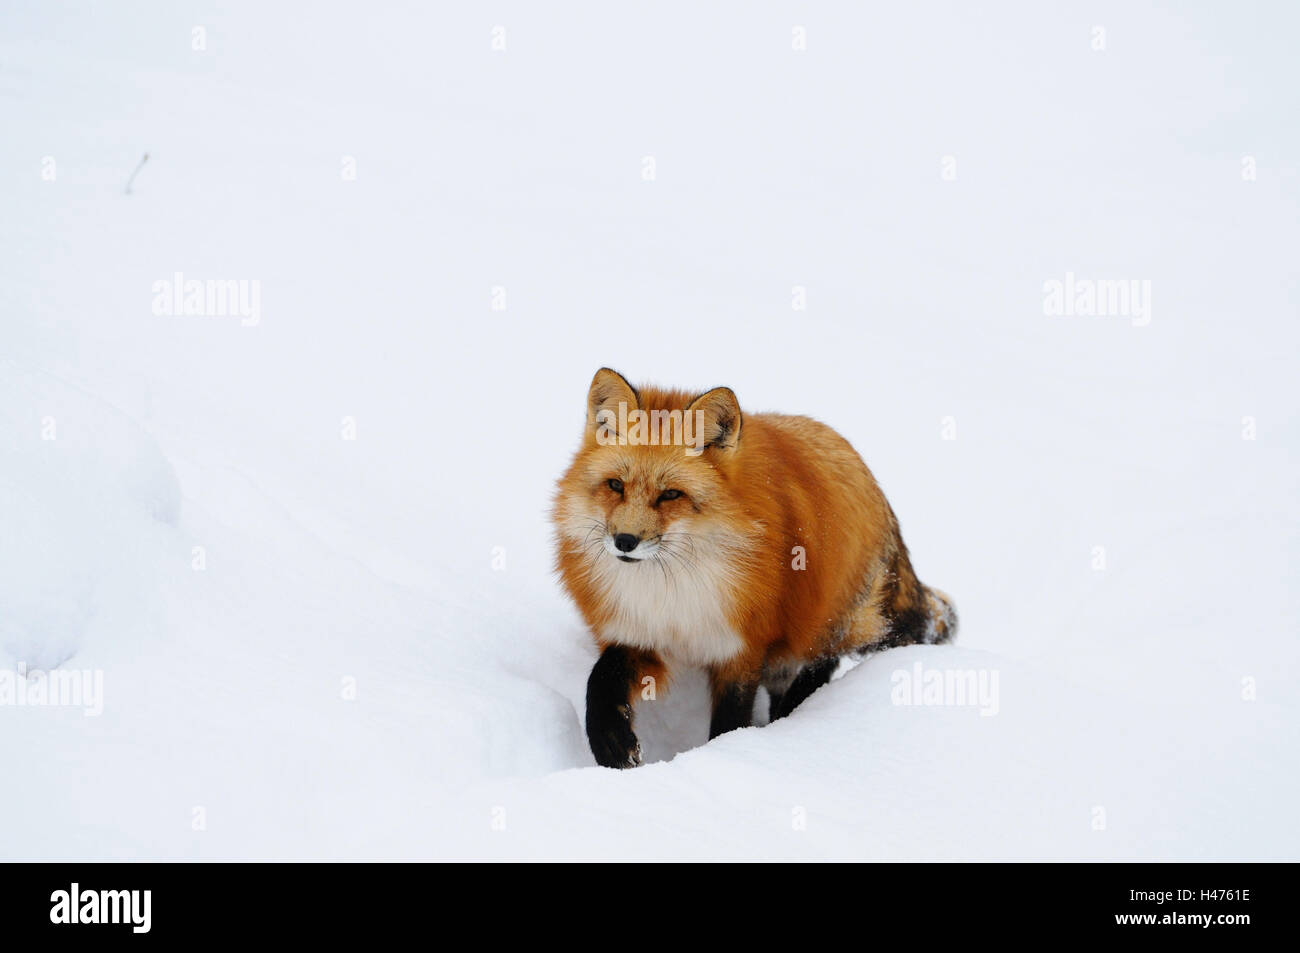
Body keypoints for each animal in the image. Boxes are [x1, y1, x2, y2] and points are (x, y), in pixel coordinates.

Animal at [553, 368, 957, 768]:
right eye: (615, 486)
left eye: (670, 495)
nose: (624, 541)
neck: (675, 592)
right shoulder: (643, 635)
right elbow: (602, 678)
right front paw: (610, 741)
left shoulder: (741, 647)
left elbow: (731, 718)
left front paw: (727, 754)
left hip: (816, 628)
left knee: (819, 668)